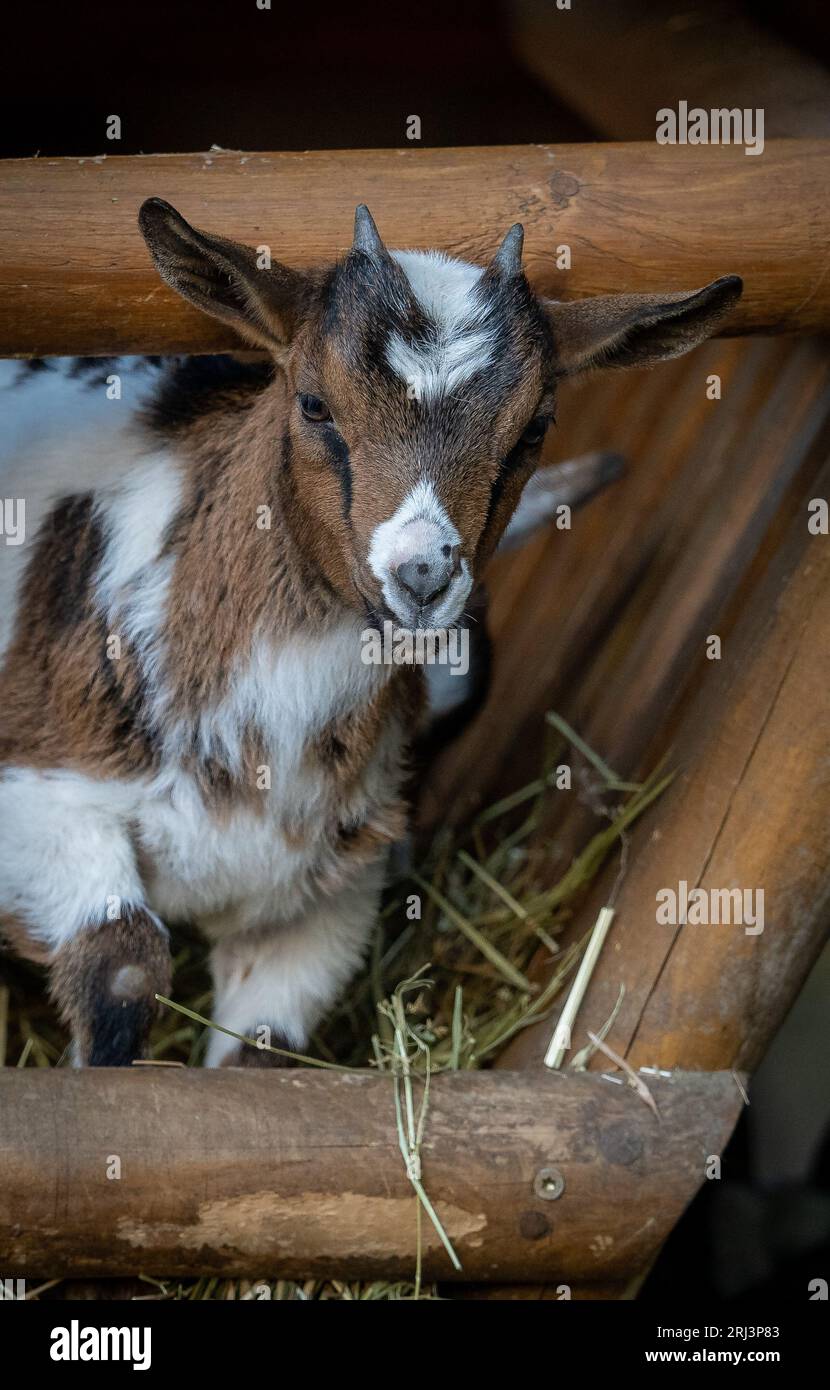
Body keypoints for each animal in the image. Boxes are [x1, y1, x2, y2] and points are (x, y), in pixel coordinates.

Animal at [0, 200, 741, 1066]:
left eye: (534, 429)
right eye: (314, 403)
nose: (422, 575)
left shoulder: (322, 904)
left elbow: (264, 1051)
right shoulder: (40, 795)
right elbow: (122, 971)